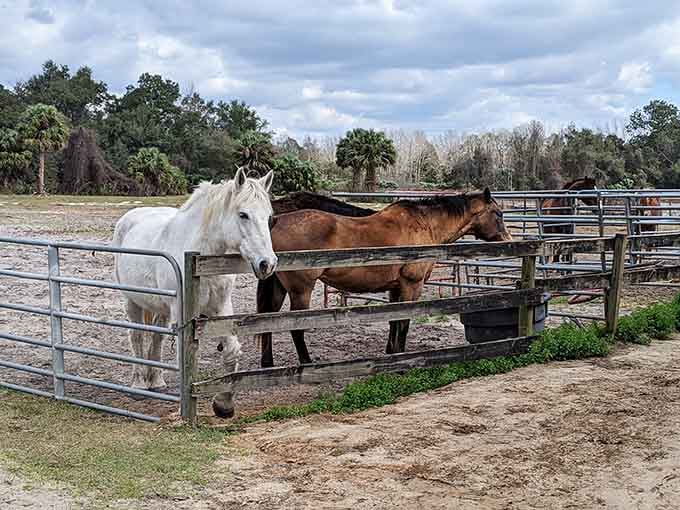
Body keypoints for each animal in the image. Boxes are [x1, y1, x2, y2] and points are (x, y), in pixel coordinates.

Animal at [112, 168, 277, 418]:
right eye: (243, 214)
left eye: (268, 217)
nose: (267, 263)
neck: (202, 256)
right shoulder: (181, 313)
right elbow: (184, 356)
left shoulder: (221, 308)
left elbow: (232, 352)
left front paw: (223, 404)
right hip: (132, 300)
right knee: (137, 335)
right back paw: (139, 383)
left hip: (162, 308)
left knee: (157, 337)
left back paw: (156, 380)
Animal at [255, 188, 511, 369]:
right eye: (498, 214)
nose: (508, 240)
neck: (424, 224)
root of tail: (276, 225)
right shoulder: (411, 285)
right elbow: (404, 322)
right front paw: (401, 361)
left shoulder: (395, 287)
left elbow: (393, 321)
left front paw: (391, 354)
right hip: (301, 290)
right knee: (295, 328)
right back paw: (307, 364)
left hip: (279, 287)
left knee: (268, 320)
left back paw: (268, 364)